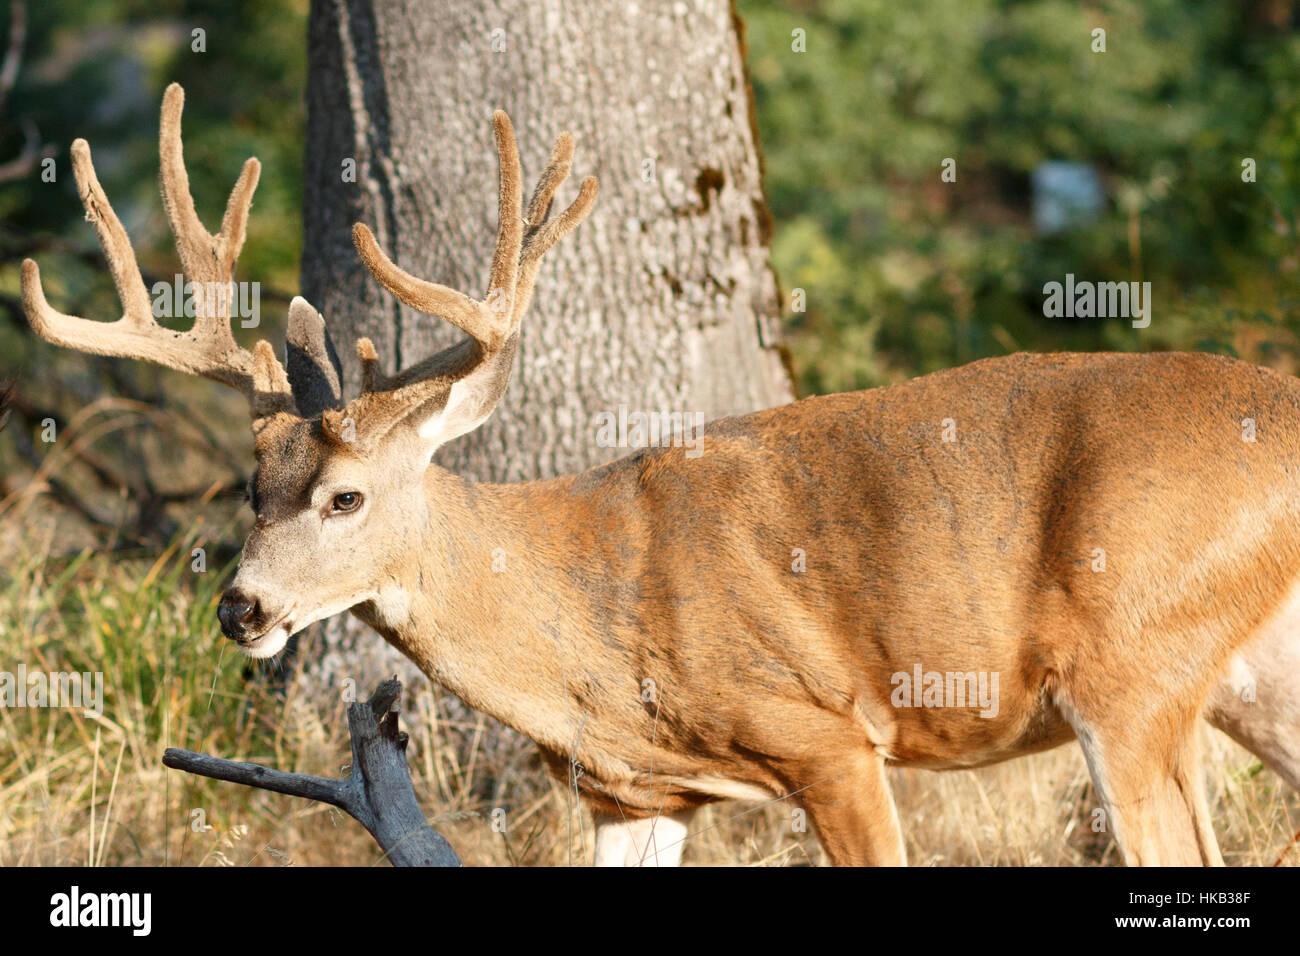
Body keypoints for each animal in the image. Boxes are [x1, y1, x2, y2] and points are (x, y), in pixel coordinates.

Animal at [22, 83, 1300, 867]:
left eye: (347, 495)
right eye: (252, 488)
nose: (242, 607)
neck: (588, 635)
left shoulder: (827, 734)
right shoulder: (633, 791)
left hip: (1127, 663)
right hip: (1245, 673)